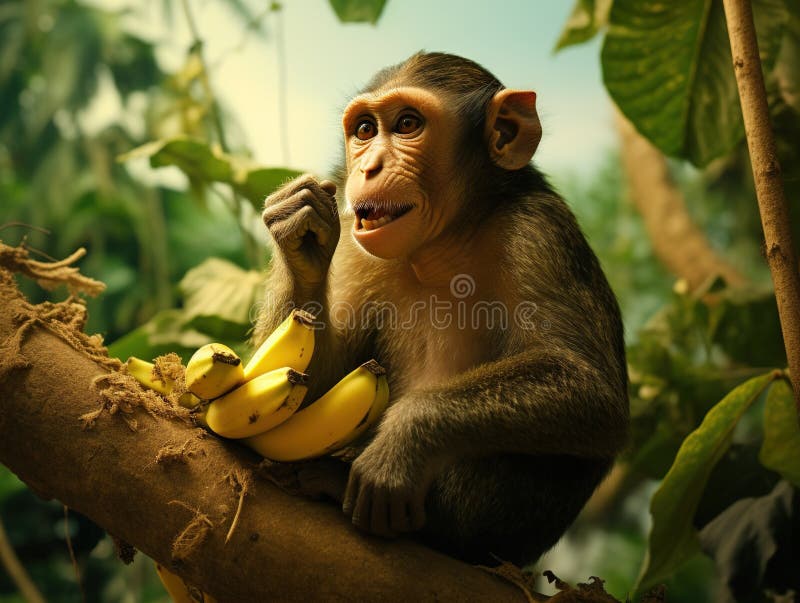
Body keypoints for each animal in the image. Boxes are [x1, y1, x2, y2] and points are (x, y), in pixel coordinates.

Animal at [254, 52, 629, 567]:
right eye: (365, 130)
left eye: (408, 124)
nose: (368, 167)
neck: (445, 243)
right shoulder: (356, 247)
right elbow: (311, 388)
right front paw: (298, 230)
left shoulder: (539, 230)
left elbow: (592, 386)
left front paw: (403, 441)